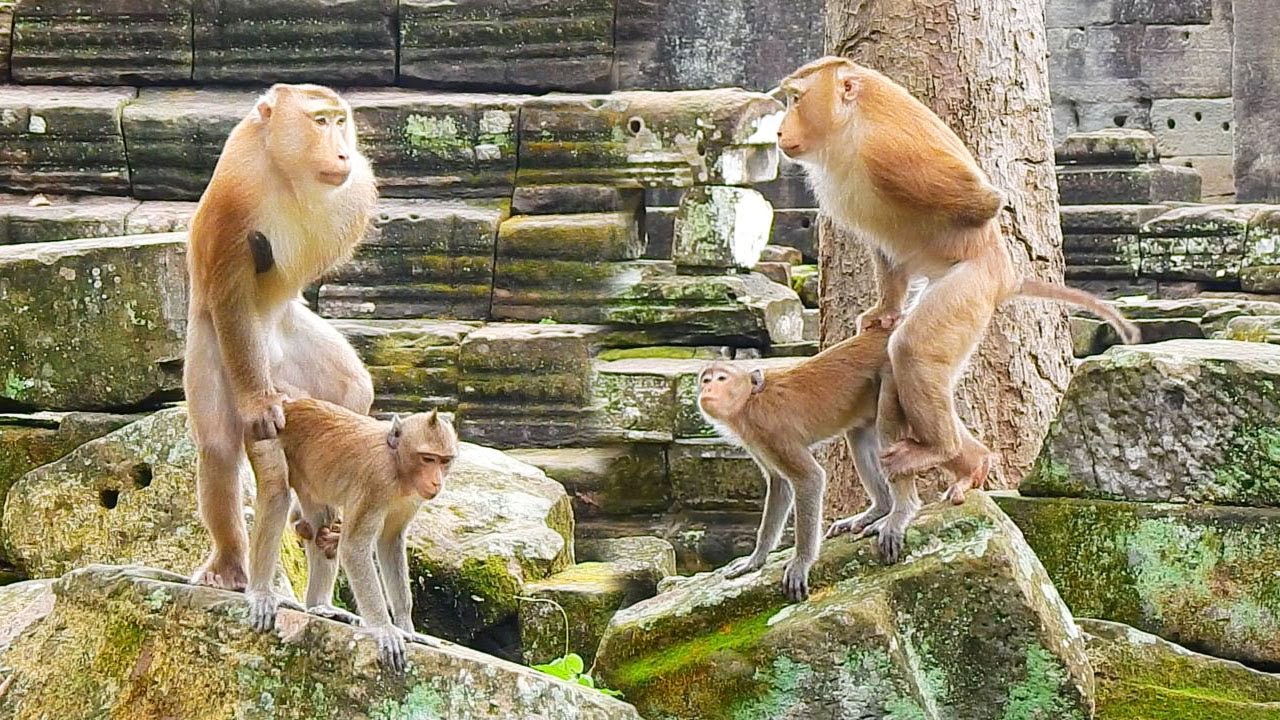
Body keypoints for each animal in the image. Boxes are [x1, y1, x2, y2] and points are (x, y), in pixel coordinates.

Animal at [183, 83, 379, 591]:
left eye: (339, 121)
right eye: (319, 121)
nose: (341, 151)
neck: (288, 173)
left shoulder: (355, 187)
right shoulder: (236, 191)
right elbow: (232, 294)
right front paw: (257, 407)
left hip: (294, 350)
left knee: (352, 390)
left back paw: (320, 526)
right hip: (220, 352)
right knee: (219, 448)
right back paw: (230, 563)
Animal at [244, 397, 458, 671]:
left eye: (444, 460)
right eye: (427, 459)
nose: (436, 482)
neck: (396, 463)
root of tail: (289, 403)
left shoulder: (410, 498)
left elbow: (390, 542)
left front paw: (406, 628)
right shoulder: (376, 481)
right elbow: (354, 547)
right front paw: (384, 628)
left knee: (320, 524)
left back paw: (320, 606)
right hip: (266, 439)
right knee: (276, 495)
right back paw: (261, 593)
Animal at [697, 326, 992, 601]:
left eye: (722, 378)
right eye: (706, 379)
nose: (707, 389)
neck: (749, 402)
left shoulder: (772, 432)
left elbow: (809, 479)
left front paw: (801, 562)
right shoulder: (758, 442)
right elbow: (780, 484)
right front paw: (756, 559)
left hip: (903, 372)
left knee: (890, 427)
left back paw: (903, 508)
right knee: (860, 436)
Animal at [774, 56, 1140, 481]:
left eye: (796, 99)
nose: (779, 130)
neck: (851, 122)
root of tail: (1005, 275)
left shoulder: (889, 156)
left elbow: (987, 201)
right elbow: (886, 248)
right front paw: (885, 311)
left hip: (972, 288)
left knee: (913, 350)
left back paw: (939, 449)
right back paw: (973, 461)